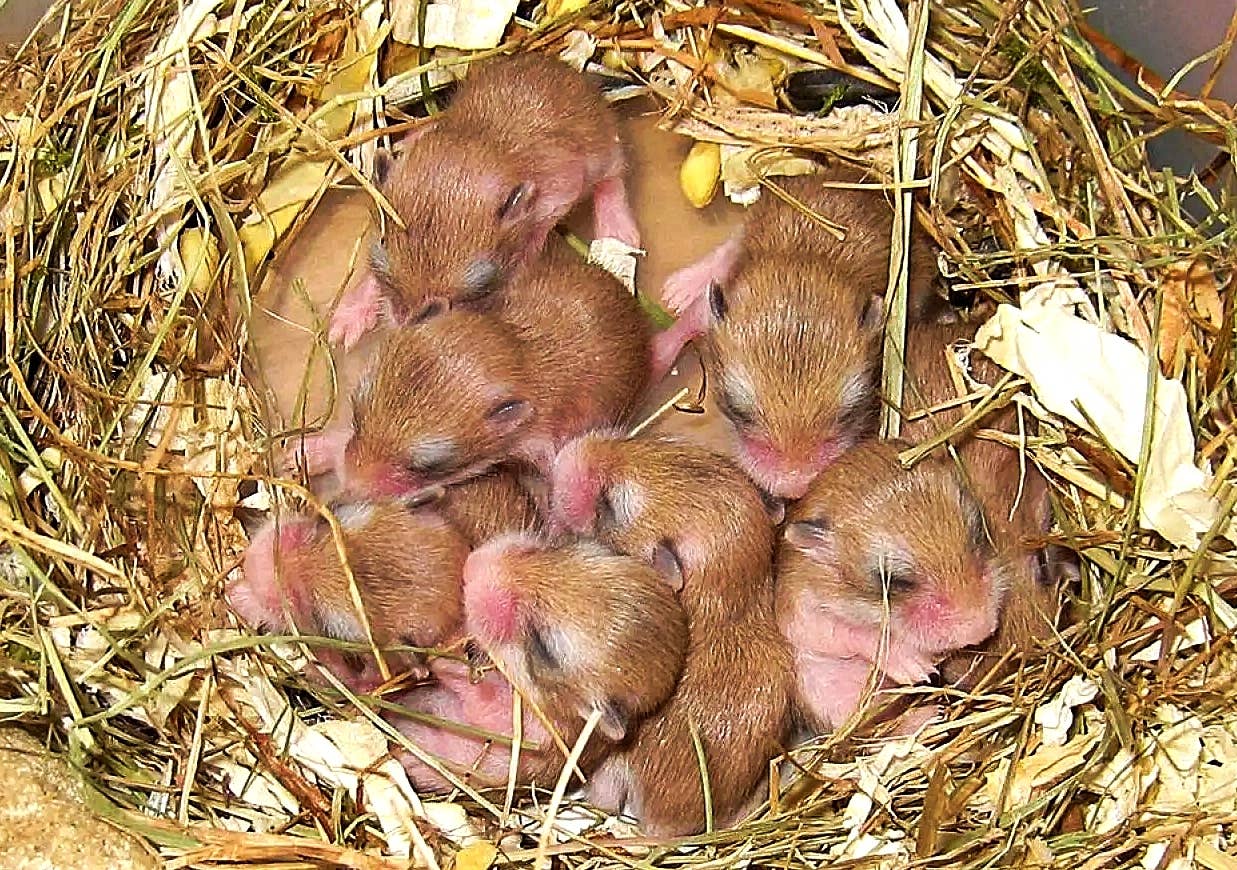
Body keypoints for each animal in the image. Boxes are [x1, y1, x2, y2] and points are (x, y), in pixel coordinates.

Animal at [329, 53, 640, 348]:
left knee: (612, 178)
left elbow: (538, 230)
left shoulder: (563, 186)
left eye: (481, 285)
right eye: (380, 262)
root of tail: (570, 70)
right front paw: (343, 326)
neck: (482, 141)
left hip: (606, 151)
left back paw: (619, 231)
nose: (405, 323)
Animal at [649, 171, 938, 499]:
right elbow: (690, 319)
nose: (792, 489)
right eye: (736, 409)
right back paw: (676, 290)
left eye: (850, 413)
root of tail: (845, 176)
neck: (806, 261)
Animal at [775, 439, 1005, 731]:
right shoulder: (800, 613)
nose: (983, 630)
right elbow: (857, 632)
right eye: (893, 580)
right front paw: (918, 668)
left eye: (977, 533)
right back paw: (930, 716)